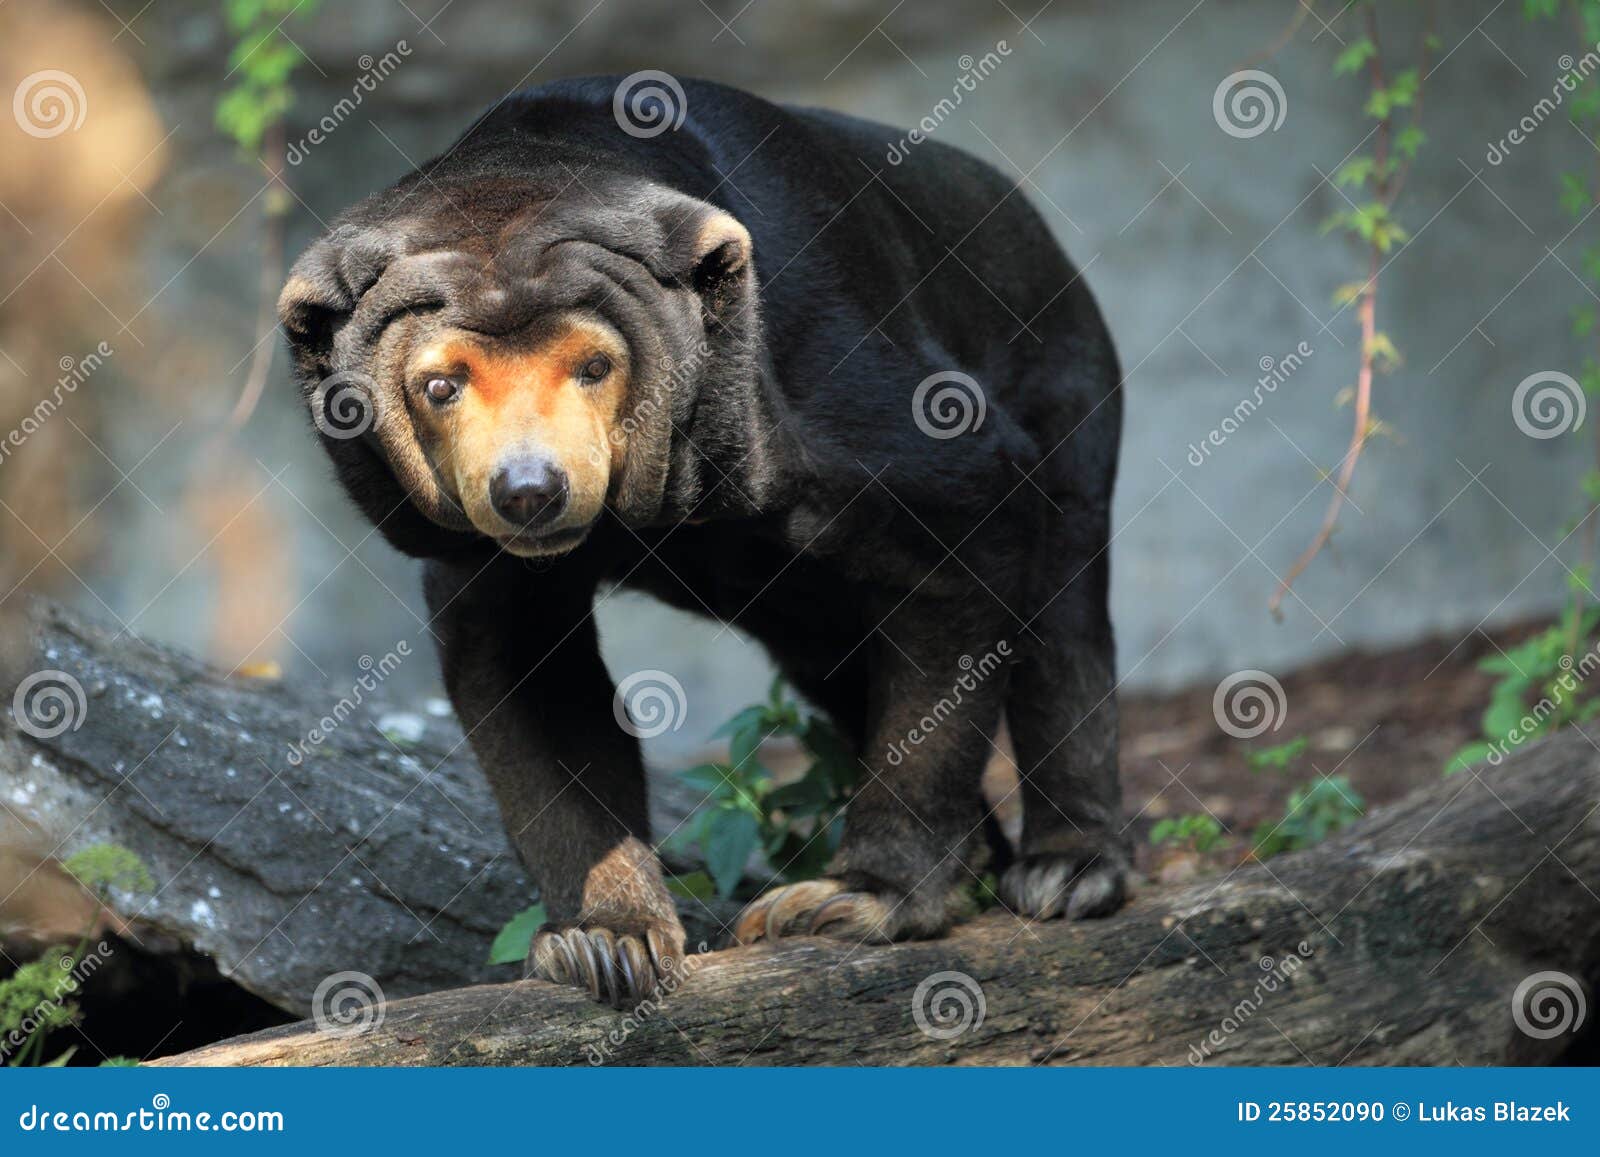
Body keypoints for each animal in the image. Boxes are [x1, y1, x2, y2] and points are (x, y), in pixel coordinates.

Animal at [277, 75, 1126, 1008]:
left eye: (595, 366)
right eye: (440, 385)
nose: (530, 492)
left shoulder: (821, 396)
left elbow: (968, 516)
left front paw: (854, 900)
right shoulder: (480, 549)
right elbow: (526, 671)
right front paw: (602, 942)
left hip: (1068, 377)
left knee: (1063, 606)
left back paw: (1066, 871)